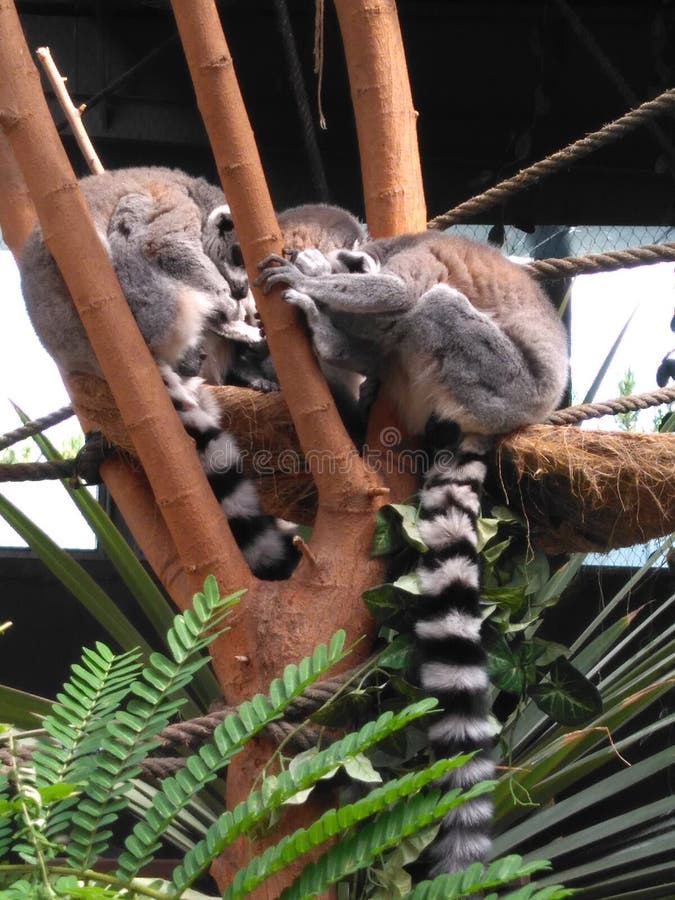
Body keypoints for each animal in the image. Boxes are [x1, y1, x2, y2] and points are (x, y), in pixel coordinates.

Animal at [256, 229, 569, 874]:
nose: (339, 309)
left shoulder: (404, 269)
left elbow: (399, 295)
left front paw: (308, 284)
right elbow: (386, 320)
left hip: (500, 383)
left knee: (430, 308)